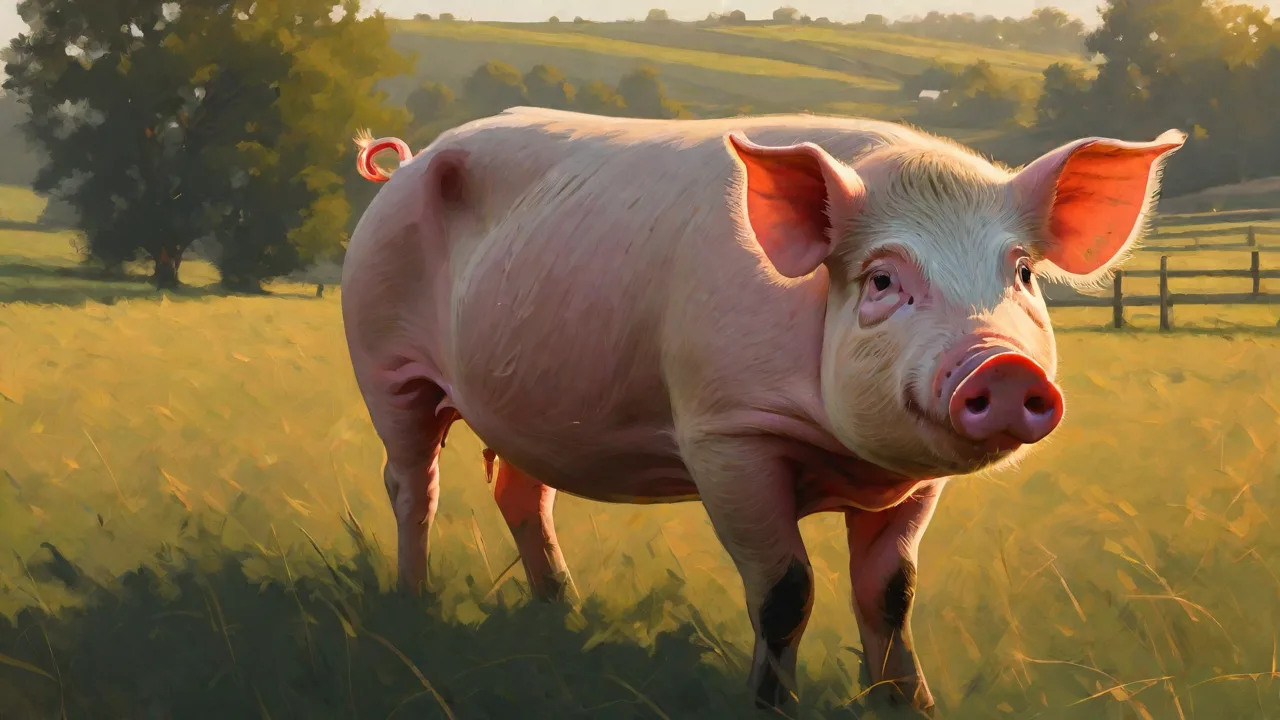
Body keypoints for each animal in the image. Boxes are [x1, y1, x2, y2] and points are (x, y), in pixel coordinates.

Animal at [342, 110, 1184, 714]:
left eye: (1023, 274)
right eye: (882, 280)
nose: (1004, 366)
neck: (852, 462)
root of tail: (408, 162)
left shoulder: (917, 483)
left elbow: (892, 592)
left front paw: (909, 706)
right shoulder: (726, 432)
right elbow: (785, 589)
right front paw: (771, 705)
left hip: (526, 404)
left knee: (519, 489)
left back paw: (566, 614)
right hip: (382, 358)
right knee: (412, 485)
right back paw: (412, 605)